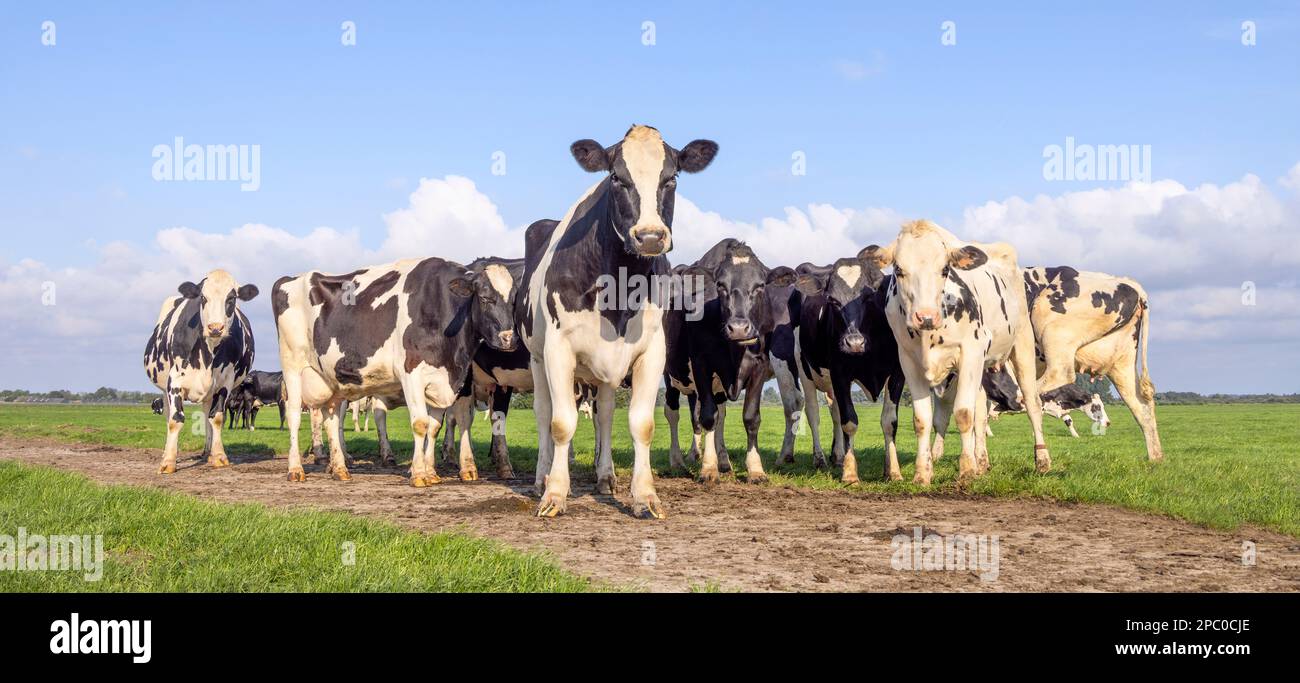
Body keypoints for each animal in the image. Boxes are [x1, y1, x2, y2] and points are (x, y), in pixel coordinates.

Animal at [143, 270, 257, 474]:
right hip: (164, 389)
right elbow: (175, 419)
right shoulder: (174, 382)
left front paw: (218, 456)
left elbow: (217, 418)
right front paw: (168, 461)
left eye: (232, 298)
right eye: (203, 297)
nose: (215, 328)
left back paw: (207, 452)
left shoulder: (225, 382)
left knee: (206, 416)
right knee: (168, 416)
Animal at [272, 256, 518, 484]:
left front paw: (431, 473)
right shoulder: (411, 373)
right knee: (295, 416)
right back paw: (296, 469)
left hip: (329, 378)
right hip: (292, 366)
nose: (509, 338)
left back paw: (340, 469)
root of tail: (290, 278)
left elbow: (434, 427)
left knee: (331, 420)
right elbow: (420, 424)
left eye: (515, 300)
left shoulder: (441, 380)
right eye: (485, 298)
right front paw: (419, 474)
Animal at [520, 124, 718, 518]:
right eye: (616, 177)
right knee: (543, 412)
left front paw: (645, 496)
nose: (651, 236)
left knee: (606, 414)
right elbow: (561, 423)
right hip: (536, 357)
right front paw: (555, 493)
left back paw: (605, 477)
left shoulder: (652, 351)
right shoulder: (558, 350)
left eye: (672, 178)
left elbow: (641, 424)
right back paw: (540, 479)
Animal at [793, 251, 906, 482]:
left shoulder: (897, 373)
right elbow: (850, 421)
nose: (854, 342)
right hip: (804, 369)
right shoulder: (840, 373)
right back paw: (820, 459)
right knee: (814, 414)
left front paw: (893, 471)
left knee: (834, 412)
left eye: (868, 297)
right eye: (832, 300)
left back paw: (837, 456)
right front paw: (850, 473)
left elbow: (889, 422)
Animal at [862, 220, 1052, 485]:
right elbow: (922, 420)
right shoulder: (908, 361)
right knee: (981, 412)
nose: (926, 316)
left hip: (1021, 342)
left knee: (1032, 403)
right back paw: (982, 461)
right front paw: (923, 473)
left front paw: (966, 471)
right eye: (898, 269)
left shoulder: (971, 350)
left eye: (945, 269)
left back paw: (1042, 461)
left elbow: (963, 414)